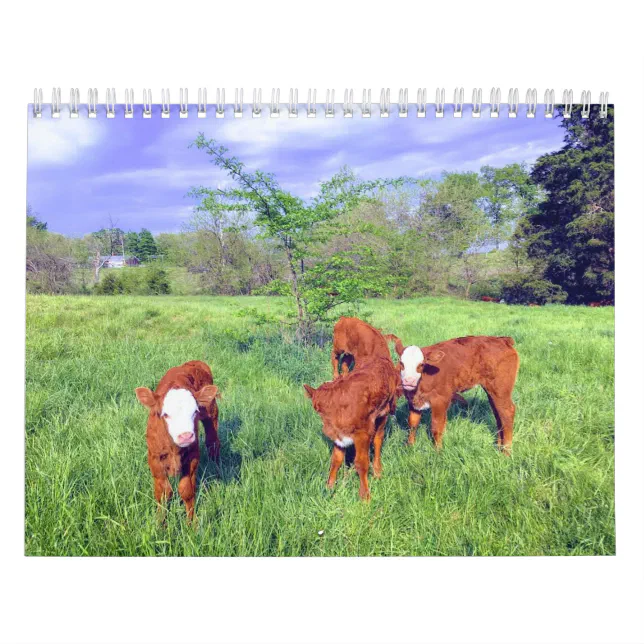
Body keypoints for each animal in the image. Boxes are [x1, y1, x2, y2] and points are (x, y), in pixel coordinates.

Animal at [135, 360, 220, 520]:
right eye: (165, 414)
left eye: (195, 411)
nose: (186, 435)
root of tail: (194, 362)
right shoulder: (155, 459)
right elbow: (163, 493)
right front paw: (160, 522)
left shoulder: (193, 456)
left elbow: (186, 491)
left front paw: (191, 522)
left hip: (211, 412)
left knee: (213, 441)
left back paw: (217, 466)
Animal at [303, 356, 399, 500]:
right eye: (317, 409)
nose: (327, 430)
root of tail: (381, 359)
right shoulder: (339, 438)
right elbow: (336, 460)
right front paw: (329, 487)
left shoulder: (362, 434)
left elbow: (361, 463)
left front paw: (365, 496)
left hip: (383, 414)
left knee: (378, 439)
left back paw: (377, 472)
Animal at [388, 335, 519, 453]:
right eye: (401, 363)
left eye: (421, 364)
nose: (408, 381)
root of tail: (502, 339)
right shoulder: (413, 401)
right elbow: (412, 423)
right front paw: (409, 446)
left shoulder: (441, 400)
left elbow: (436, 427)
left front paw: (437, 451)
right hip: (492, 391)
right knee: (498, 414)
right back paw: (499, 446)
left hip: (501, 389)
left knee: (507, 412)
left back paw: (506, 452)